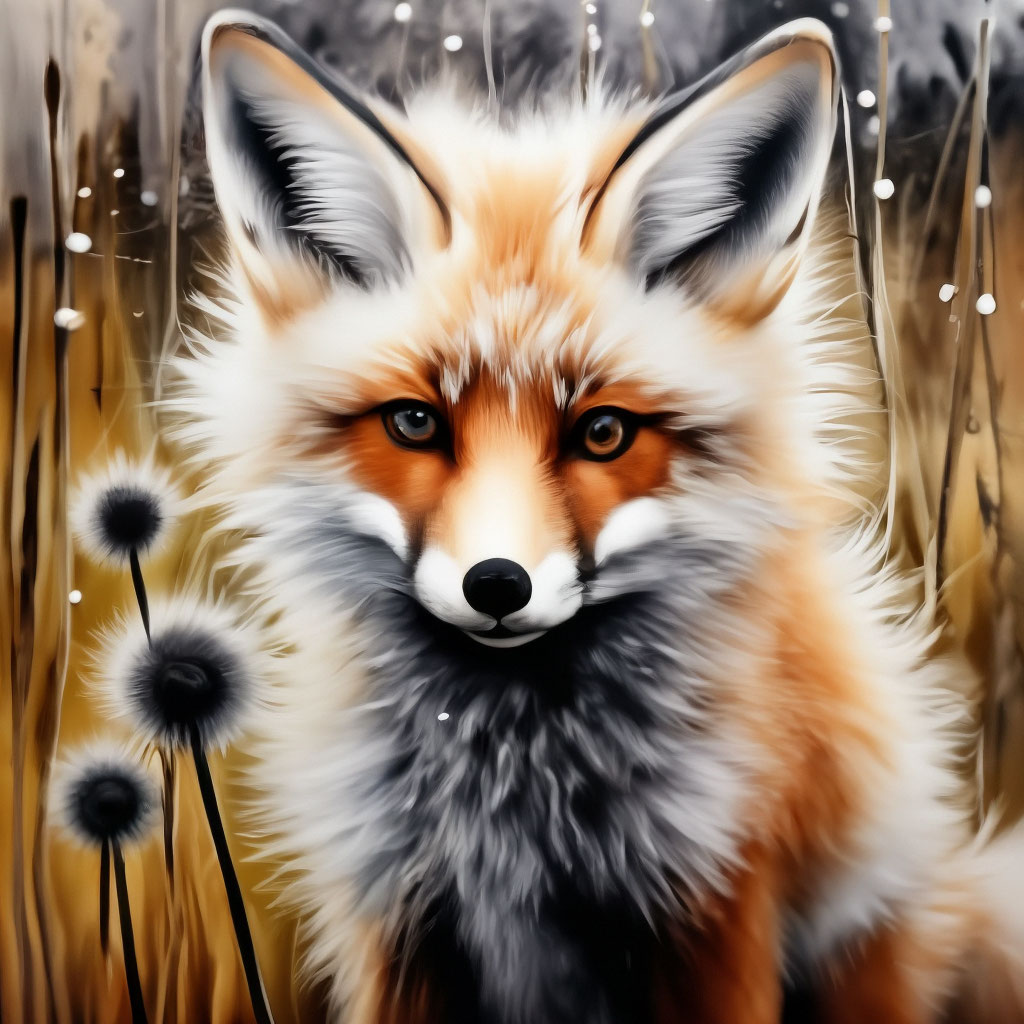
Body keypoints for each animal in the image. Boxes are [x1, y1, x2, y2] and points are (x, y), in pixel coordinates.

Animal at [172, 9, 1024, 1024]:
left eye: (604, 432)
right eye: (416, 422)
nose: (496, 586)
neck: (515, 801)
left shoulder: (718, 898)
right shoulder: (398, 921)